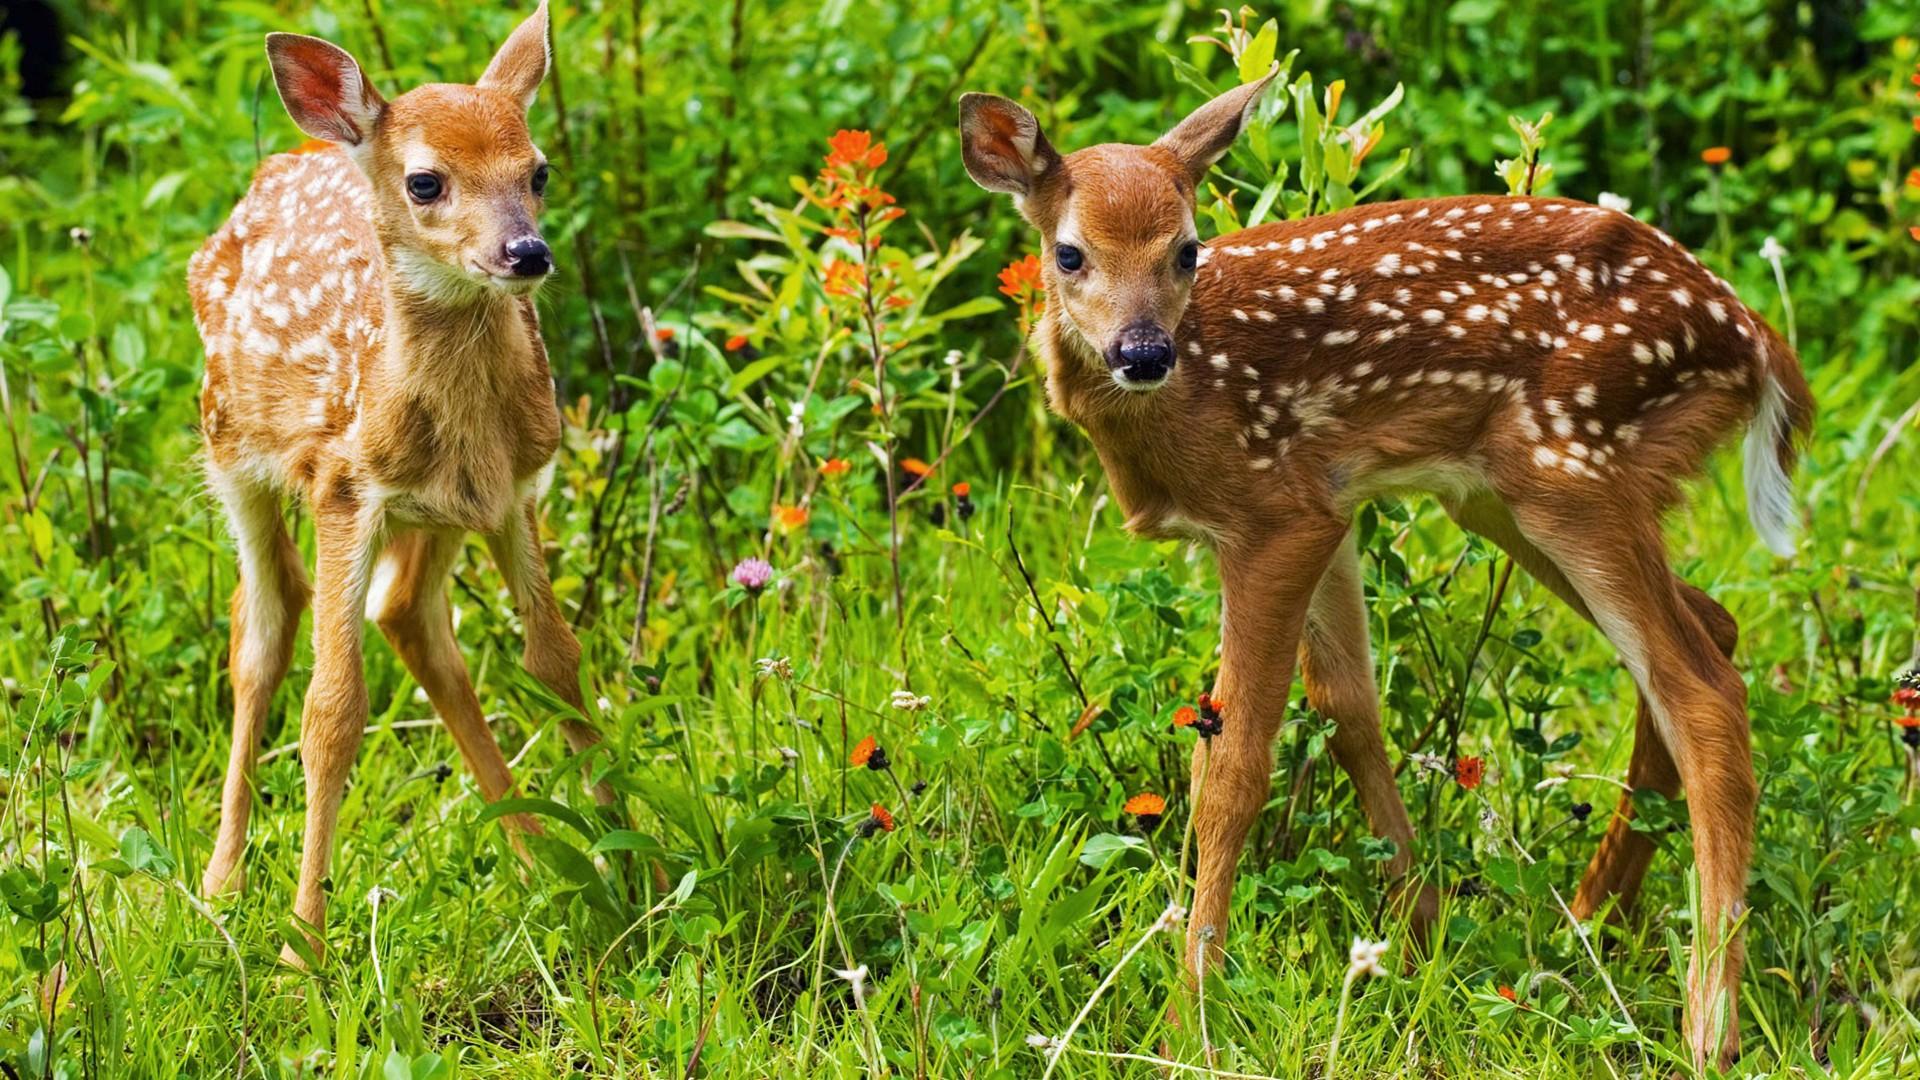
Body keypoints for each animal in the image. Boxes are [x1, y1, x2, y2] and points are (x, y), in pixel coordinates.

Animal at [186, 1, 608, 962]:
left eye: (538, 169)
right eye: (425, 182)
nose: (526, 252)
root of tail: (288, 159)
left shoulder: (513, 491)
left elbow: (555, 660)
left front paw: (629, 845)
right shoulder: (345, 488)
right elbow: (333, 711)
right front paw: (303, 948)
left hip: (438, 518)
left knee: (408, 615)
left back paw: (534, 853)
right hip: (230, 449)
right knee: (261, 627)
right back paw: (221, 884)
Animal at [959, 70, 1812, 1069]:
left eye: (1186, 249)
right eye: (1068, 254)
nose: (1142, 352)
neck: (1189, 403)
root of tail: (1753, 338)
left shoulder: (1272, 516)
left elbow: (1233, 768)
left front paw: (1190, 1014)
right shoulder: (1328, 505)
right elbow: (1349, 712)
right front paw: (1421, 932)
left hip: (1570, 464)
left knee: (1702, 690)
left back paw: (1706, 1025)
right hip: (1510, 493)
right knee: (1706, 632)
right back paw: (1587, 921)